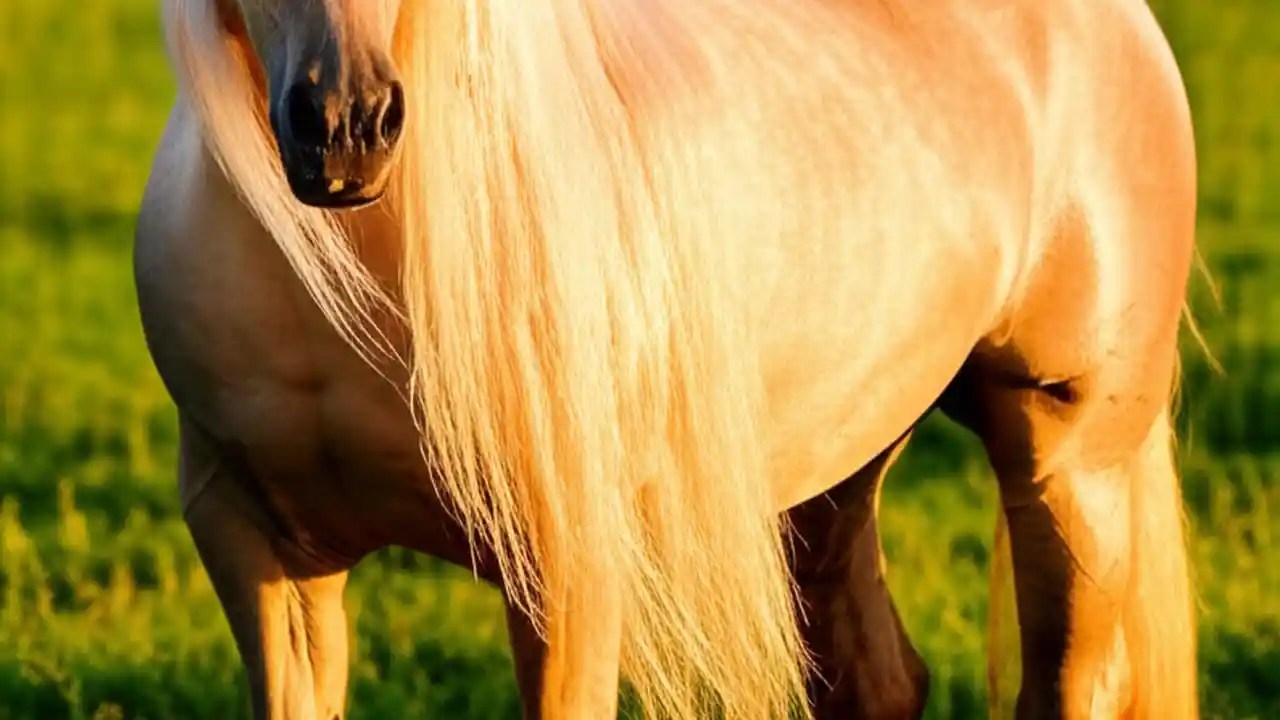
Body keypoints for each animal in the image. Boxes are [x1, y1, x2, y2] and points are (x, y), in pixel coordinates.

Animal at [134, 0, 1199, 718]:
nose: (348, 126)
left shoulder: (569, 572)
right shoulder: (262, 553)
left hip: (1070, 467)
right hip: (833, 475)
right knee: (882, 679)